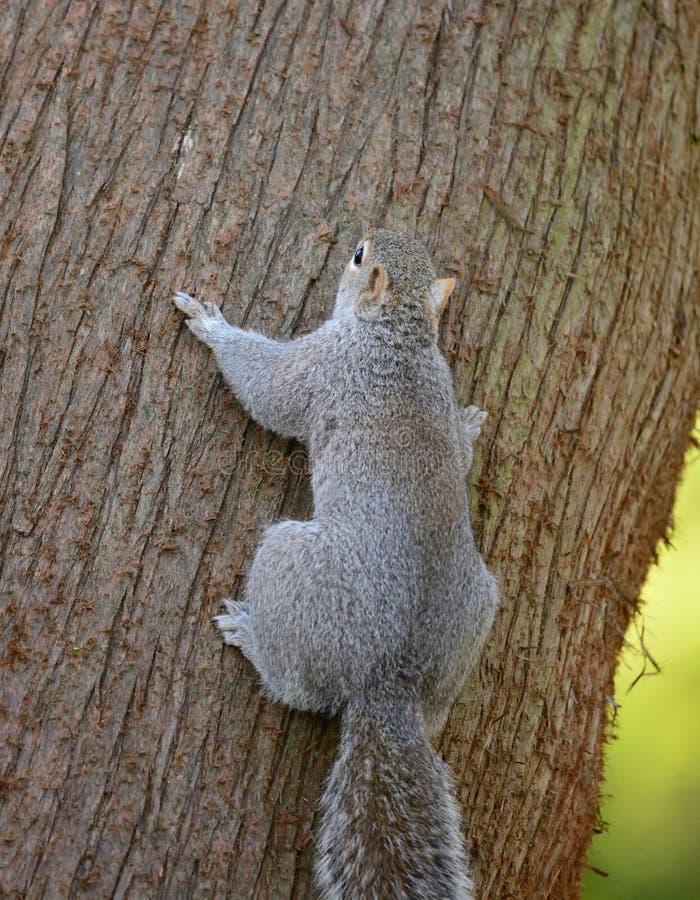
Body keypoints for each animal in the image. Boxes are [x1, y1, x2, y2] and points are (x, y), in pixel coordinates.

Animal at [173, 228, 498, 899]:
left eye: (357, 256)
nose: (360, 233)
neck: (399, 332)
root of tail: (390, 674)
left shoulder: (323, 364)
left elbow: (269, 388)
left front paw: (213, 325)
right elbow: (457, 448)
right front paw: (468, 426)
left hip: (290, 565)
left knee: (294, 687)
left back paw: (249, 634)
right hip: (476, 615)